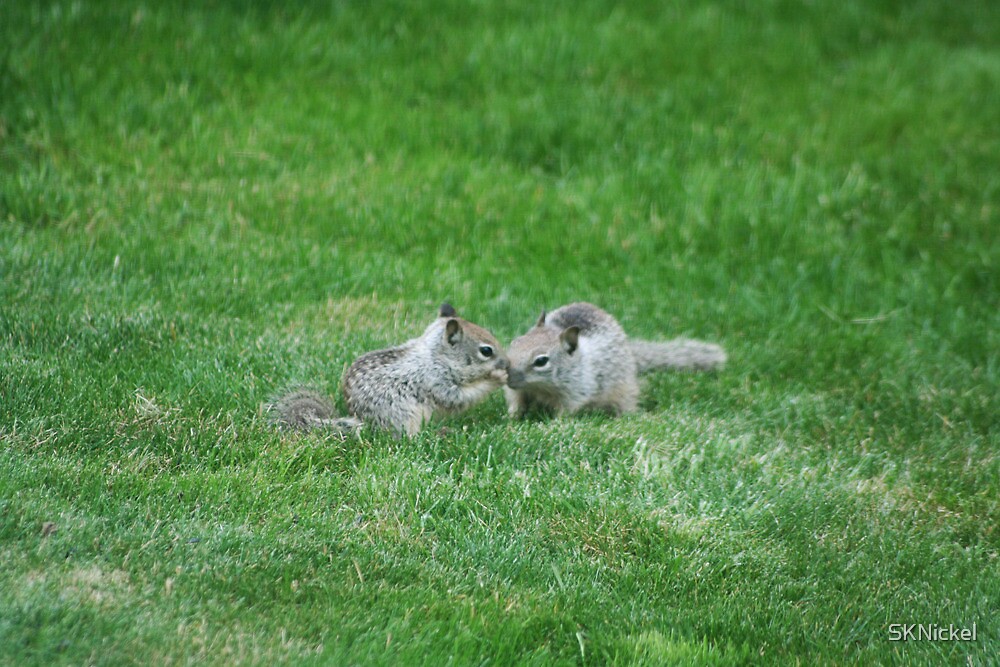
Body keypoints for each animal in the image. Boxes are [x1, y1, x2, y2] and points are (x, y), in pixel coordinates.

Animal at [270, 303, 510, 437]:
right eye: (486, 351)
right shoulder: (435, 380)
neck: (436, 355)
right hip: (403, 414)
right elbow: (458, 399)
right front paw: (497, 377)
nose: (507, 363)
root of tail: (364, 421)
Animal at [504, 302, 726, 418]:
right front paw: (513, 417)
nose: (508, 378)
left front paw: (553, 423)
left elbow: (567, 409)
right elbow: (517, 400)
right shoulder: (520, 390)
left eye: (541, 361)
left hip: (623, 389)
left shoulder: (578, 388)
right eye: (515, 342)